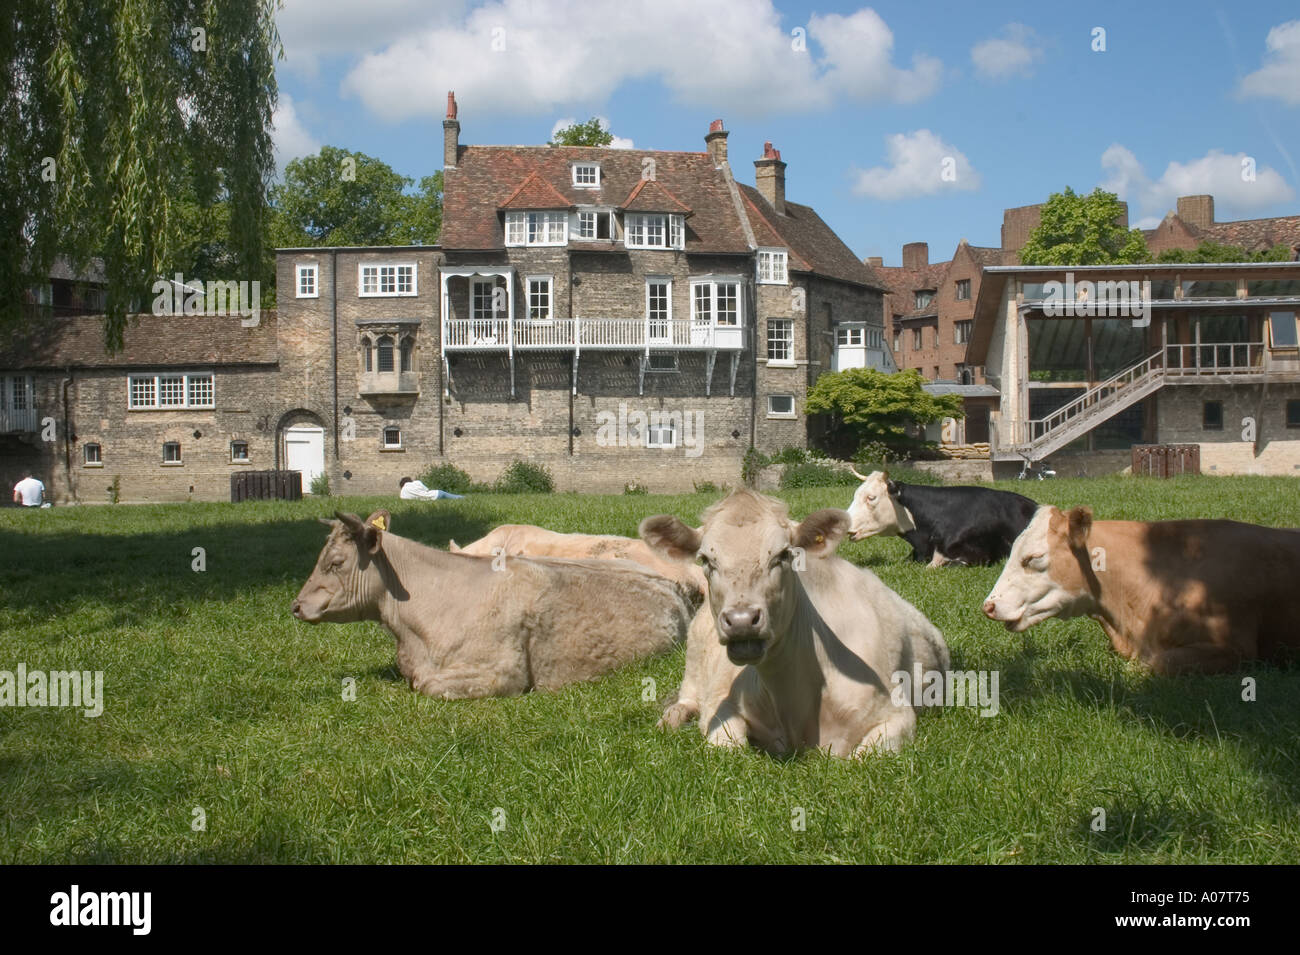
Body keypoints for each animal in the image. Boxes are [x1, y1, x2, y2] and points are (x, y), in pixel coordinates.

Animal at [640, 489, 949, 757]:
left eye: (783, 555)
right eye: (706, 560)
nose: (741, 621)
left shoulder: (897, 715)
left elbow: (863, 757)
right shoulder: (722, 705)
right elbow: (729, 747)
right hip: (693, 661)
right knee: (686, 699)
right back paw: (670, 720)